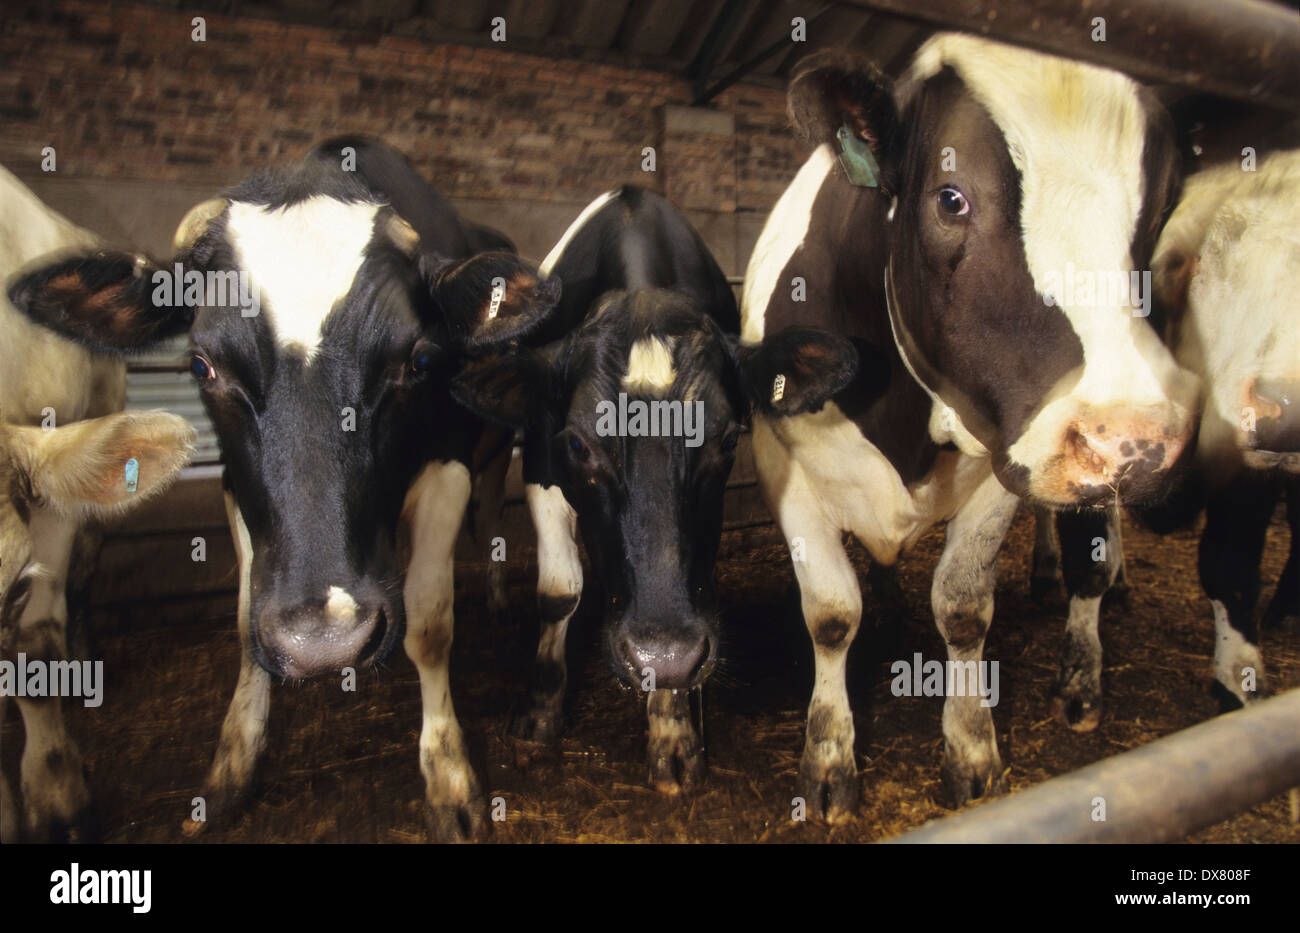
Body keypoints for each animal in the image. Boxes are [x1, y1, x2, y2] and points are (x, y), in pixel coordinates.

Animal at [451, 186, 856, 791]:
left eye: (727, 438)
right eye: (579, 444)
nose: (662, 655)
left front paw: (673, 730)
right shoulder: (540, 461)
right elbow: (558, 592)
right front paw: (541, 707)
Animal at [741, 35, 1201, 821]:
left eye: (1157, 213)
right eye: (950, 198)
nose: (1133, 441)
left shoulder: (1002, 463)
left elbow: (962, 608)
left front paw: (971, 751)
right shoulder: (786, 466)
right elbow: (831, 613)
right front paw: (828, 759)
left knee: (1089, 555)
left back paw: (1082, 661)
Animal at [1051, 149, 1300, 730]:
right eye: (1209, 266)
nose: (1285, 412)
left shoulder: (1249, 475)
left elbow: (1231, 567)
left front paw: (1239, 680)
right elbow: (1088, 561)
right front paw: (1080, 679)